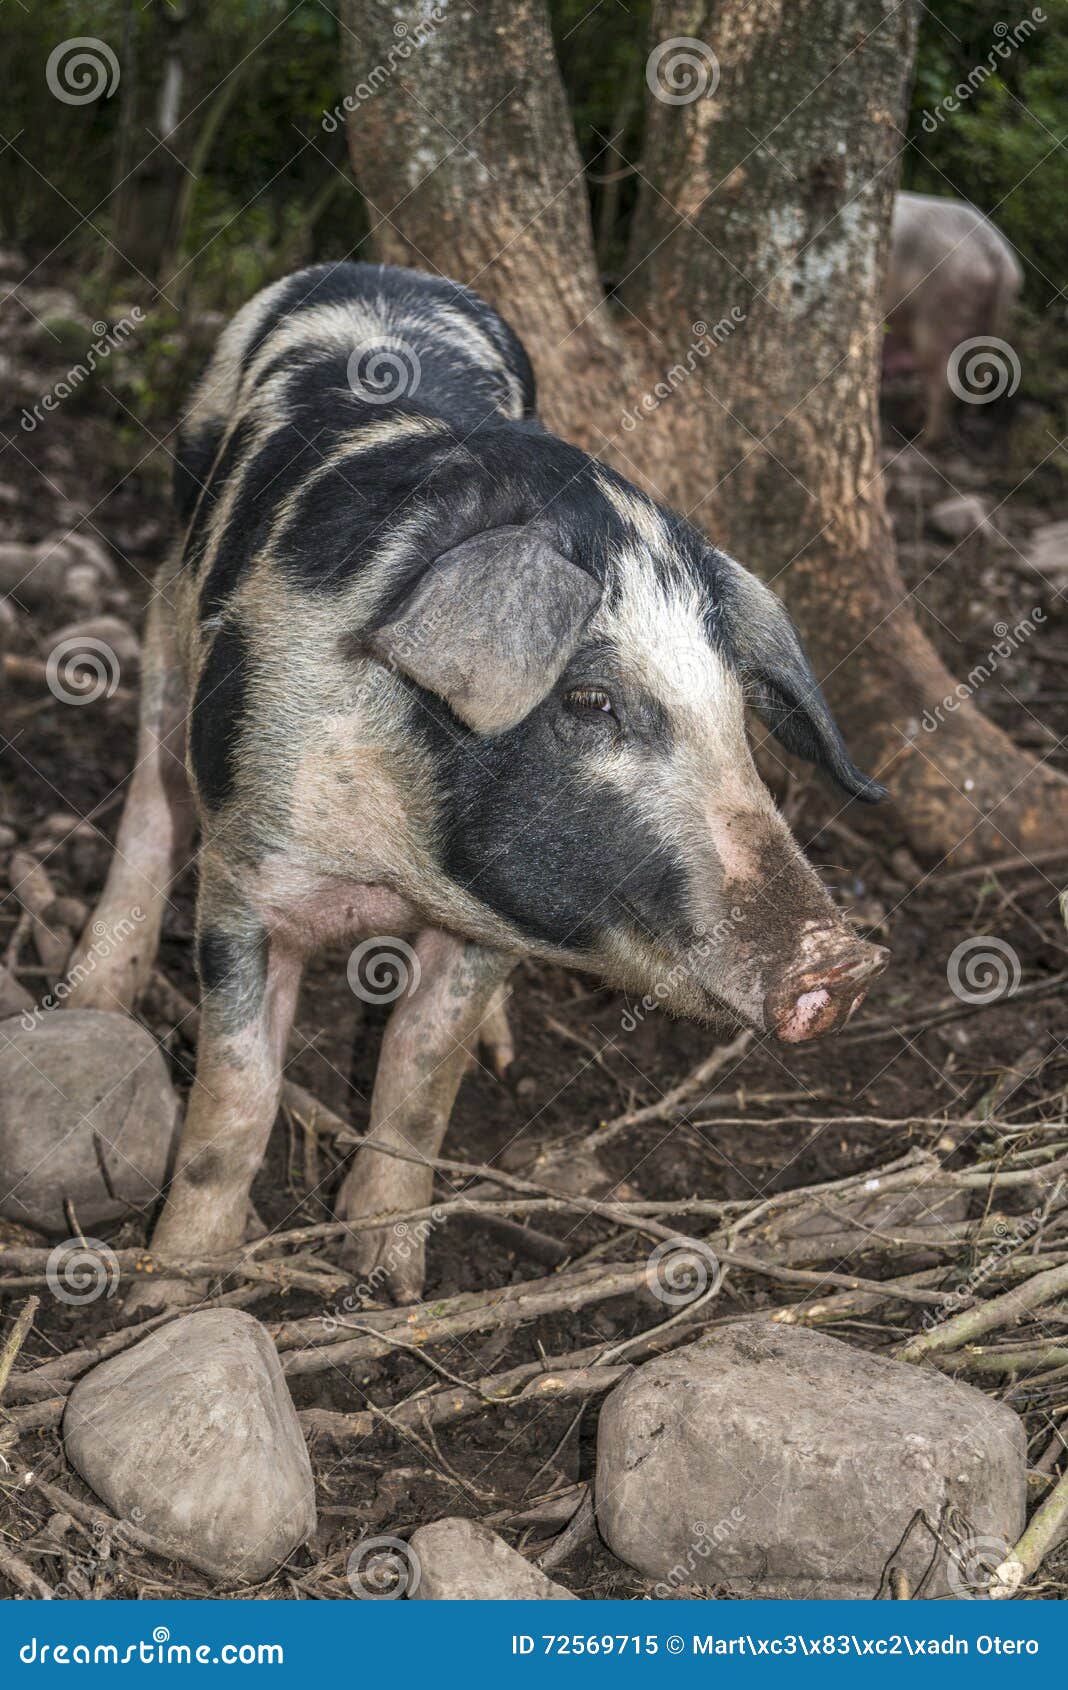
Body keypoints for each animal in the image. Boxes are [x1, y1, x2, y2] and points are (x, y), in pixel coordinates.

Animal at [65, 261, 887, 1307]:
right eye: (589, 699)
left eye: (738, 711)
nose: (845, 958)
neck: (394, 862)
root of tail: (379, 269)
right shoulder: (247, 878)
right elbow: (235, 1097)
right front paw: (171, 1291)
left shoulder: (484, 927)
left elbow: (422, 1077)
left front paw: (389, 1278)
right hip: (170, 612)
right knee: (149, 799)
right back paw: (94, 1002)